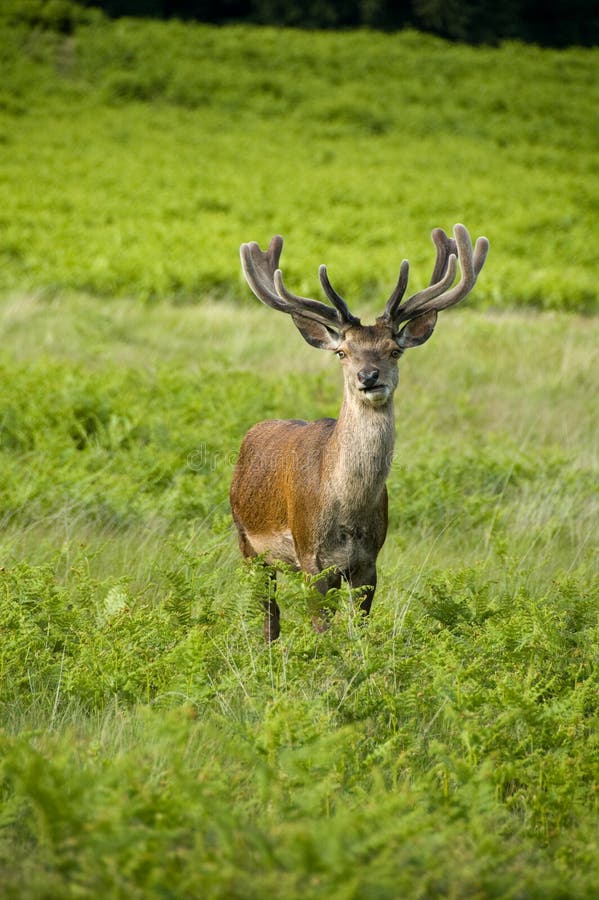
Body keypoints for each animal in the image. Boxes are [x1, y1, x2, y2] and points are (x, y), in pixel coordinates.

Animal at [230, 224, 489, 641]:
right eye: (343, 352)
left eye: (395, 350)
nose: (369, 376)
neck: (348, 516)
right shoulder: (310, 557)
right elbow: (321, 630)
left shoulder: (369, 563)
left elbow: (359, 631)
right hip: (247, 542)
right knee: (269, 614)